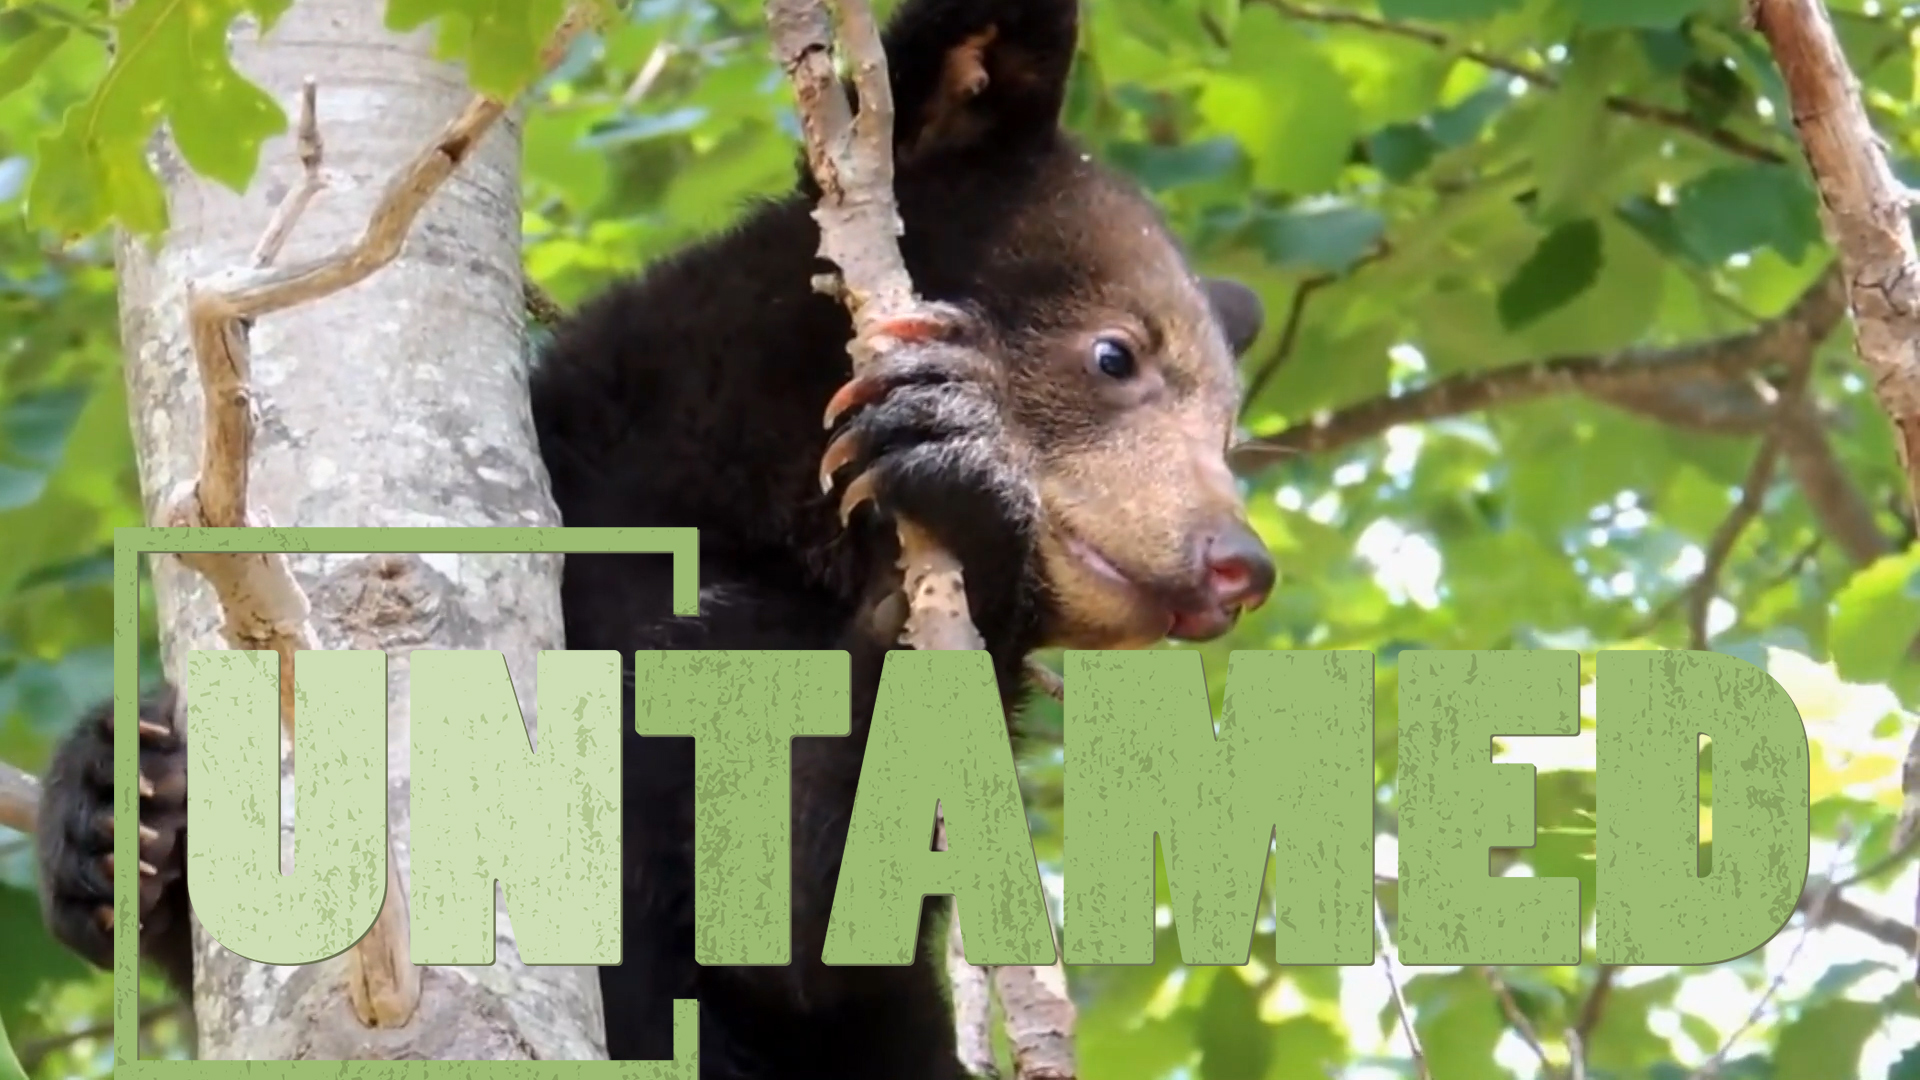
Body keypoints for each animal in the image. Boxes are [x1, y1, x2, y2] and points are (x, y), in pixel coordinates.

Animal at [33, 0, 1276, 1075]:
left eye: (1230, 429)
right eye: (1117, 353)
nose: (1242, 564)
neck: (738, 503)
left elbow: (796, 924)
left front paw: (960, 471)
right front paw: (118, 803)